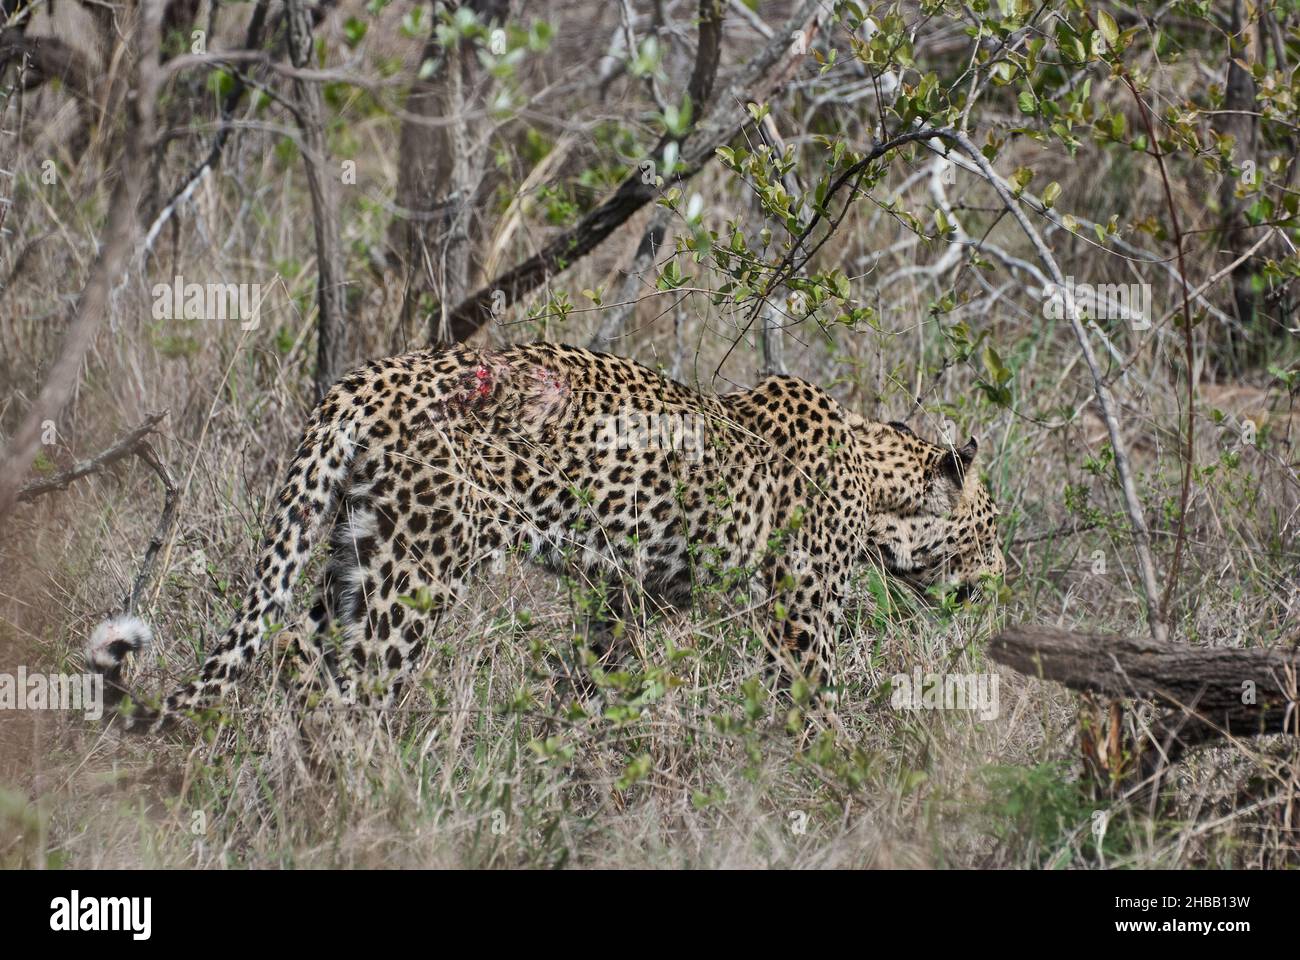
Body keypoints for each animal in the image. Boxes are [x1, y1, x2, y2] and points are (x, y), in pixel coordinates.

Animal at [86, 341, 1003, 731]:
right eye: (991, 533)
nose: (1001, 582)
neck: (877, 479)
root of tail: (368, 377)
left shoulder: (636, 596)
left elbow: (598, 677)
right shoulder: (800, 618)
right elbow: (820, 705)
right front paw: (836, 771)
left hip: (358, 543)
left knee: (297, 645)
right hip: (420, 567)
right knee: (358, 679)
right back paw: (363, 767)